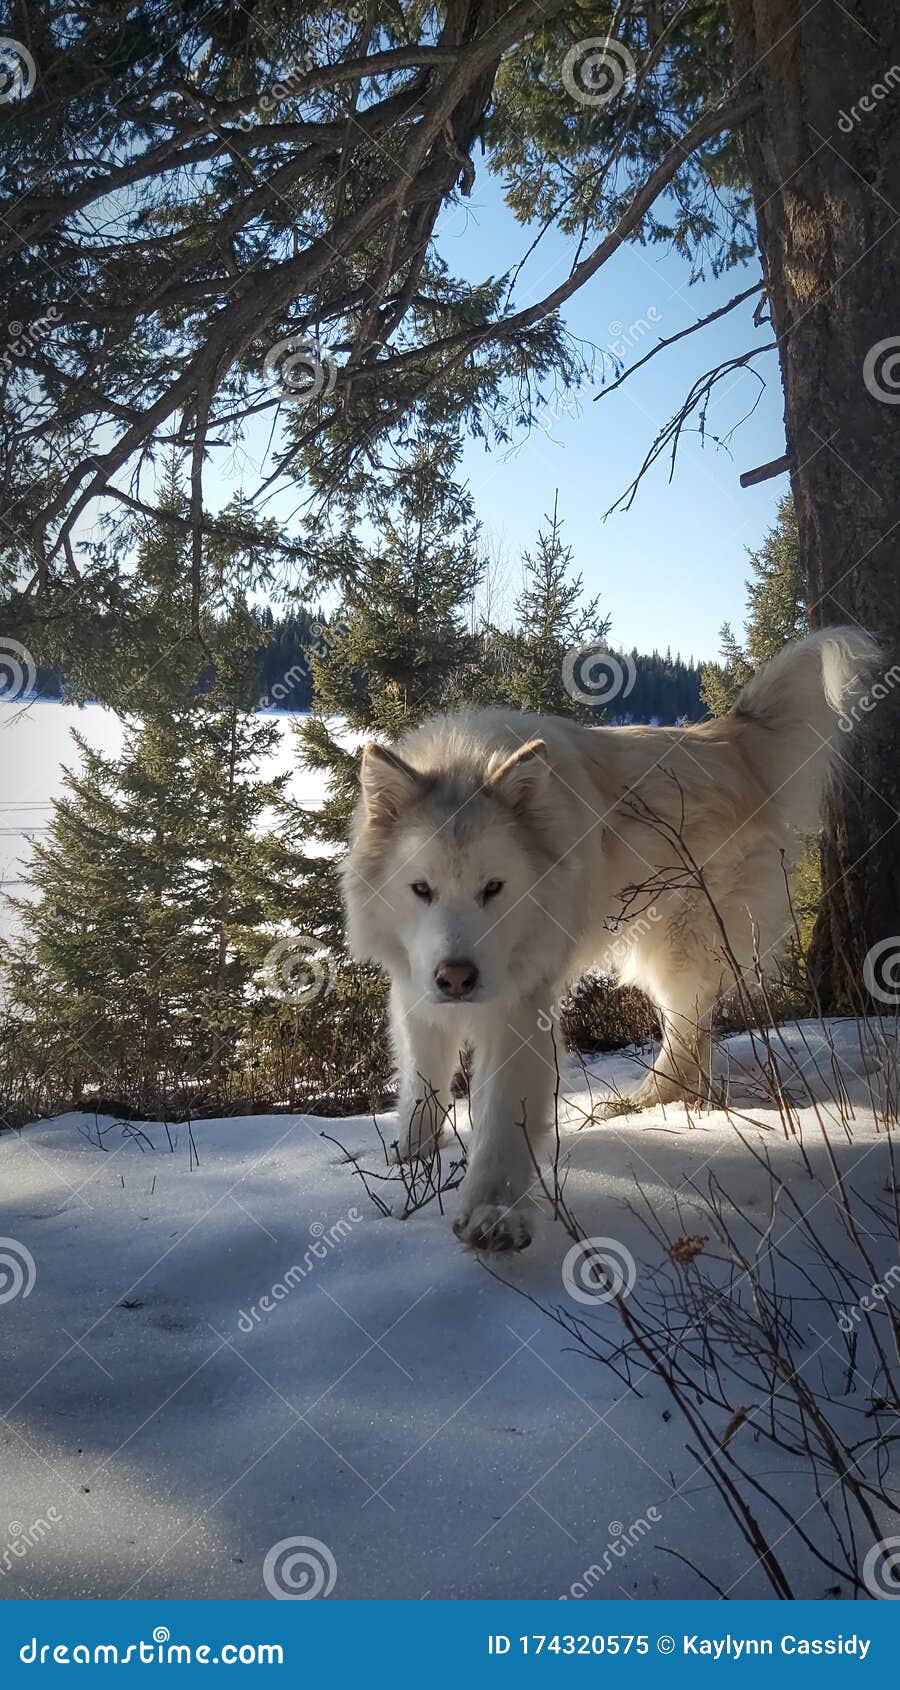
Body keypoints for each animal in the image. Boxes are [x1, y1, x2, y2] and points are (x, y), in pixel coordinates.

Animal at [342, 628, 879, 1252]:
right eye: (421, 889)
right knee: (696, 1040)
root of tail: (727, 738)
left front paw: (493, 1213)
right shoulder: (415, 992)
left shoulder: (522, 1006)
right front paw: (411, 1158)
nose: (457, 978)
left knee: (686, 1033)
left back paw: (646, 1106)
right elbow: (423, 1087)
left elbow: (501, 1121)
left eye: (493, 888)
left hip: (677, 945)